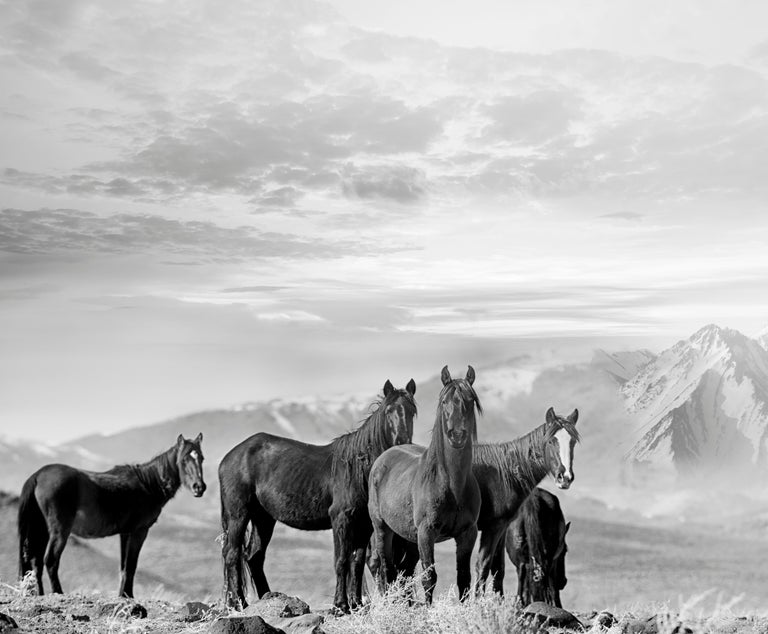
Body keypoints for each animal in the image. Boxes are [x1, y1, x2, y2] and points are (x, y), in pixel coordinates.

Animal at [17, 433, 206, 598]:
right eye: (184, 459)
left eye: (201, 458)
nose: (199, 487)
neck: (148, 485)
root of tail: (38, 475)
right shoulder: (139, 531)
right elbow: (131, 566)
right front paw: (128, 596)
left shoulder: (125, 533)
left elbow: (124, 567)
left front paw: (123, 595)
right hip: (59, 531)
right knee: (50, 560)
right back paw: (58, 593)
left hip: (41, 530)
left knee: (36, 561)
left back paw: (40, 594)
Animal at [218, 378, 417, 612]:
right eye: (388, 411)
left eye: (412, 411)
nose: (402, 442)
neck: (358, 468)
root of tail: (230, 457)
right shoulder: (341, 519)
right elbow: (341, 561)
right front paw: (340, 605)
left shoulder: (363, 524)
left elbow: (356, 562)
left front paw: (356, 604)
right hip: (238, 515)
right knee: (232, 554)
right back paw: (238, 603)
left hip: (263, 518)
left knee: (254, 556)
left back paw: (267, 598)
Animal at [368, 366, 482, 605]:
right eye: (444, 401)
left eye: (470, 400)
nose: (457, 435)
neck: (451, 484)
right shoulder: (426, 533)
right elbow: (429, 578)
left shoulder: (468, 533)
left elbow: (464, 579)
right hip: (382, 527)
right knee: (386, 567)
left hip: (407, 535)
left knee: (402, 570)